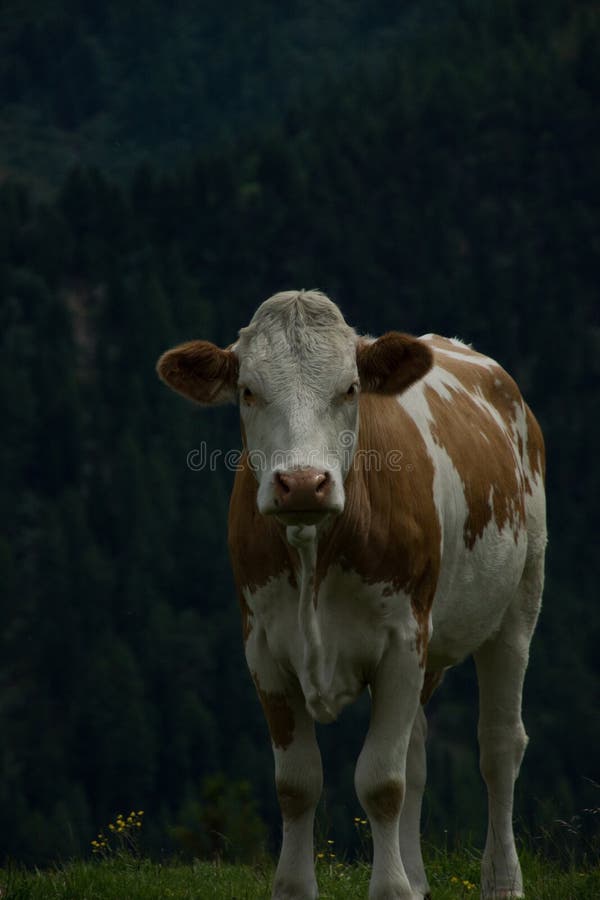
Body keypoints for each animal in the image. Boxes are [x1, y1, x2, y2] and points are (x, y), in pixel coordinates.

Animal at [157, 290, 546, 900]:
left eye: (349, 388)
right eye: (249, 390)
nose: (302, 483)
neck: (314, 549)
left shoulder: (402, 640)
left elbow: (381, 782)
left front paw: (390, 890)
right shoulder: (263, 649)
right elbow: (298, 783)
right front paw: (299, 888)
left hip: (518, 606)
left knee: (499, 747)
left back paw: (503, 881)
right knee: (418, 751)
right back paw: (419, 878)